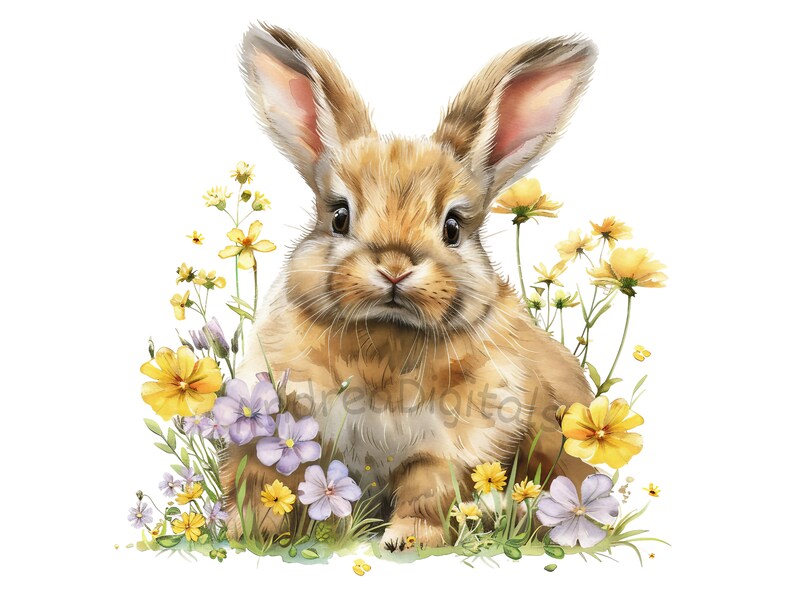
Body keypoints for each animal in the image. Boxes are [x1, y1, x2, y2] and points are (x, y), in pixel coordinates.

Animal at [220, 23, 598, 548]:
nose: (395, 268)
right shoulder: (282, 416)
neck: (386, 334)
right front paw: (249, 528)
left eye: (453, 227)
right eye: (339, 216)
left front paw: (406, 539)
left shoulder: (452, 444)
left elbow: (426, 487)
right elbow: (265, 473)